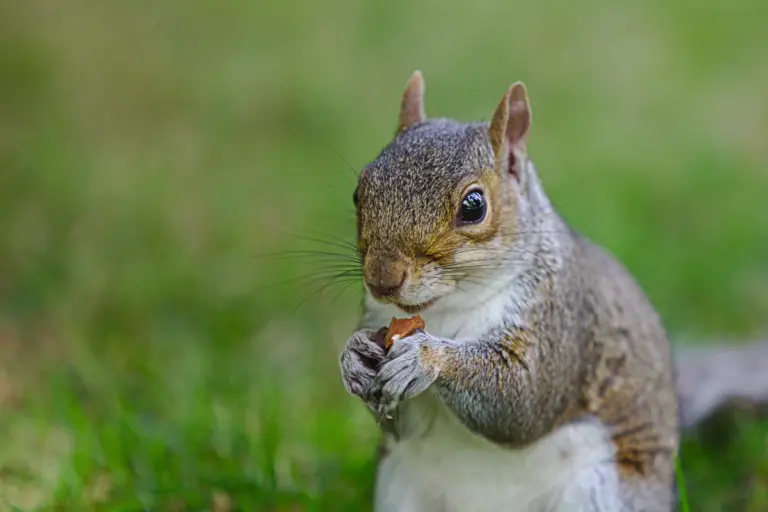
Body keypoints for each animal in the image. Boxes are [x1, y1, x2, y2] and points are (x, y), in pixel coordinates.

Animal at [339, 70, 768, 512]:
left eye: (474, 206)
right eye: (358, 192)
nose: (382, 279)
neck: (447, 308)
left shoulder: (561, 318)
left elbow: (525, 399)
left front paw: (426, 358)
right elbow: (399, 423)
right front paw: (353, 357)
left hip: (598, 491)